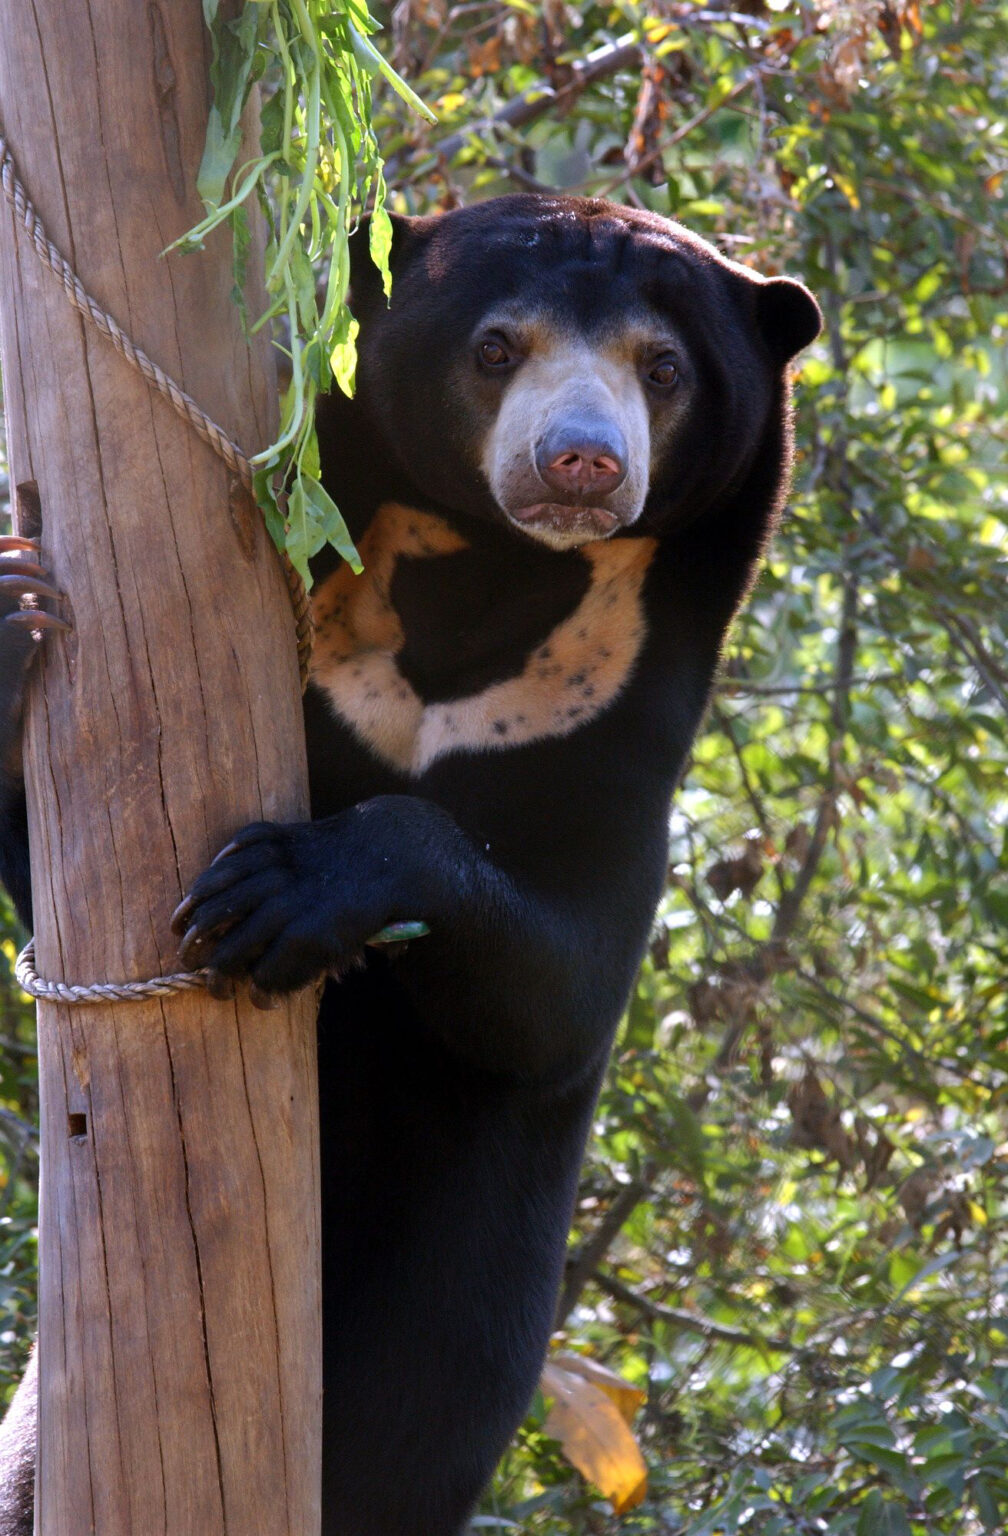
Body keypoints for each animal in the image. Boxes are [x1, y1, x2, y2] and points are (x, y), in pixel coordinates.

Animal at [0, 194, 820, 1536]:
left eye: (663, 368)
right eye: (497, 347)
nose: (582, 464)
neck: (490, 568)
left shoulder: (612, 720)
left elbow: (561, 988)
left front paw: (280, 892)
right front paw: (14, 614)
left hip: (455, 1328)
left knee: (389, 1456)